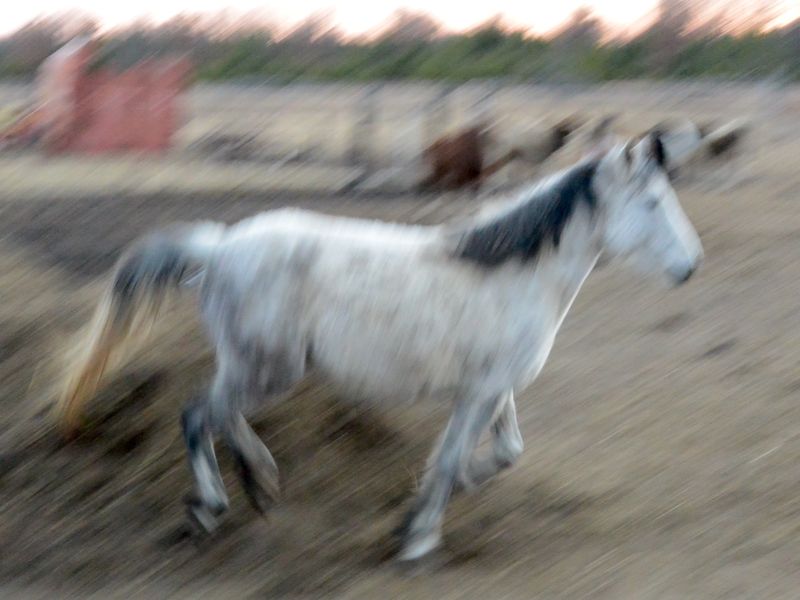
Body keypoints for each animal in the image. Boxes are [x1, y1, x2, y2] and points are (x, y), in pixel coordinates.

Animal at [56, 131, 703, 564]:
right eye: (652, 203)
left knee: (222, 415)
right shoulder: (483, 392)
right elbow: (453, 459)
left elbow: (502, 452)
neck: (517, 276)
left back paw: (261, 482)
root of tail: (220, 247)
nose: (691, 266)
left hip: (255, 367)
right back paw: (211, 506)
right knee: (198, 415)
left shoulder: (493, 389)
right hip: (268, 369)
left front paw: (421, 508)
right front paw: (416, 537)